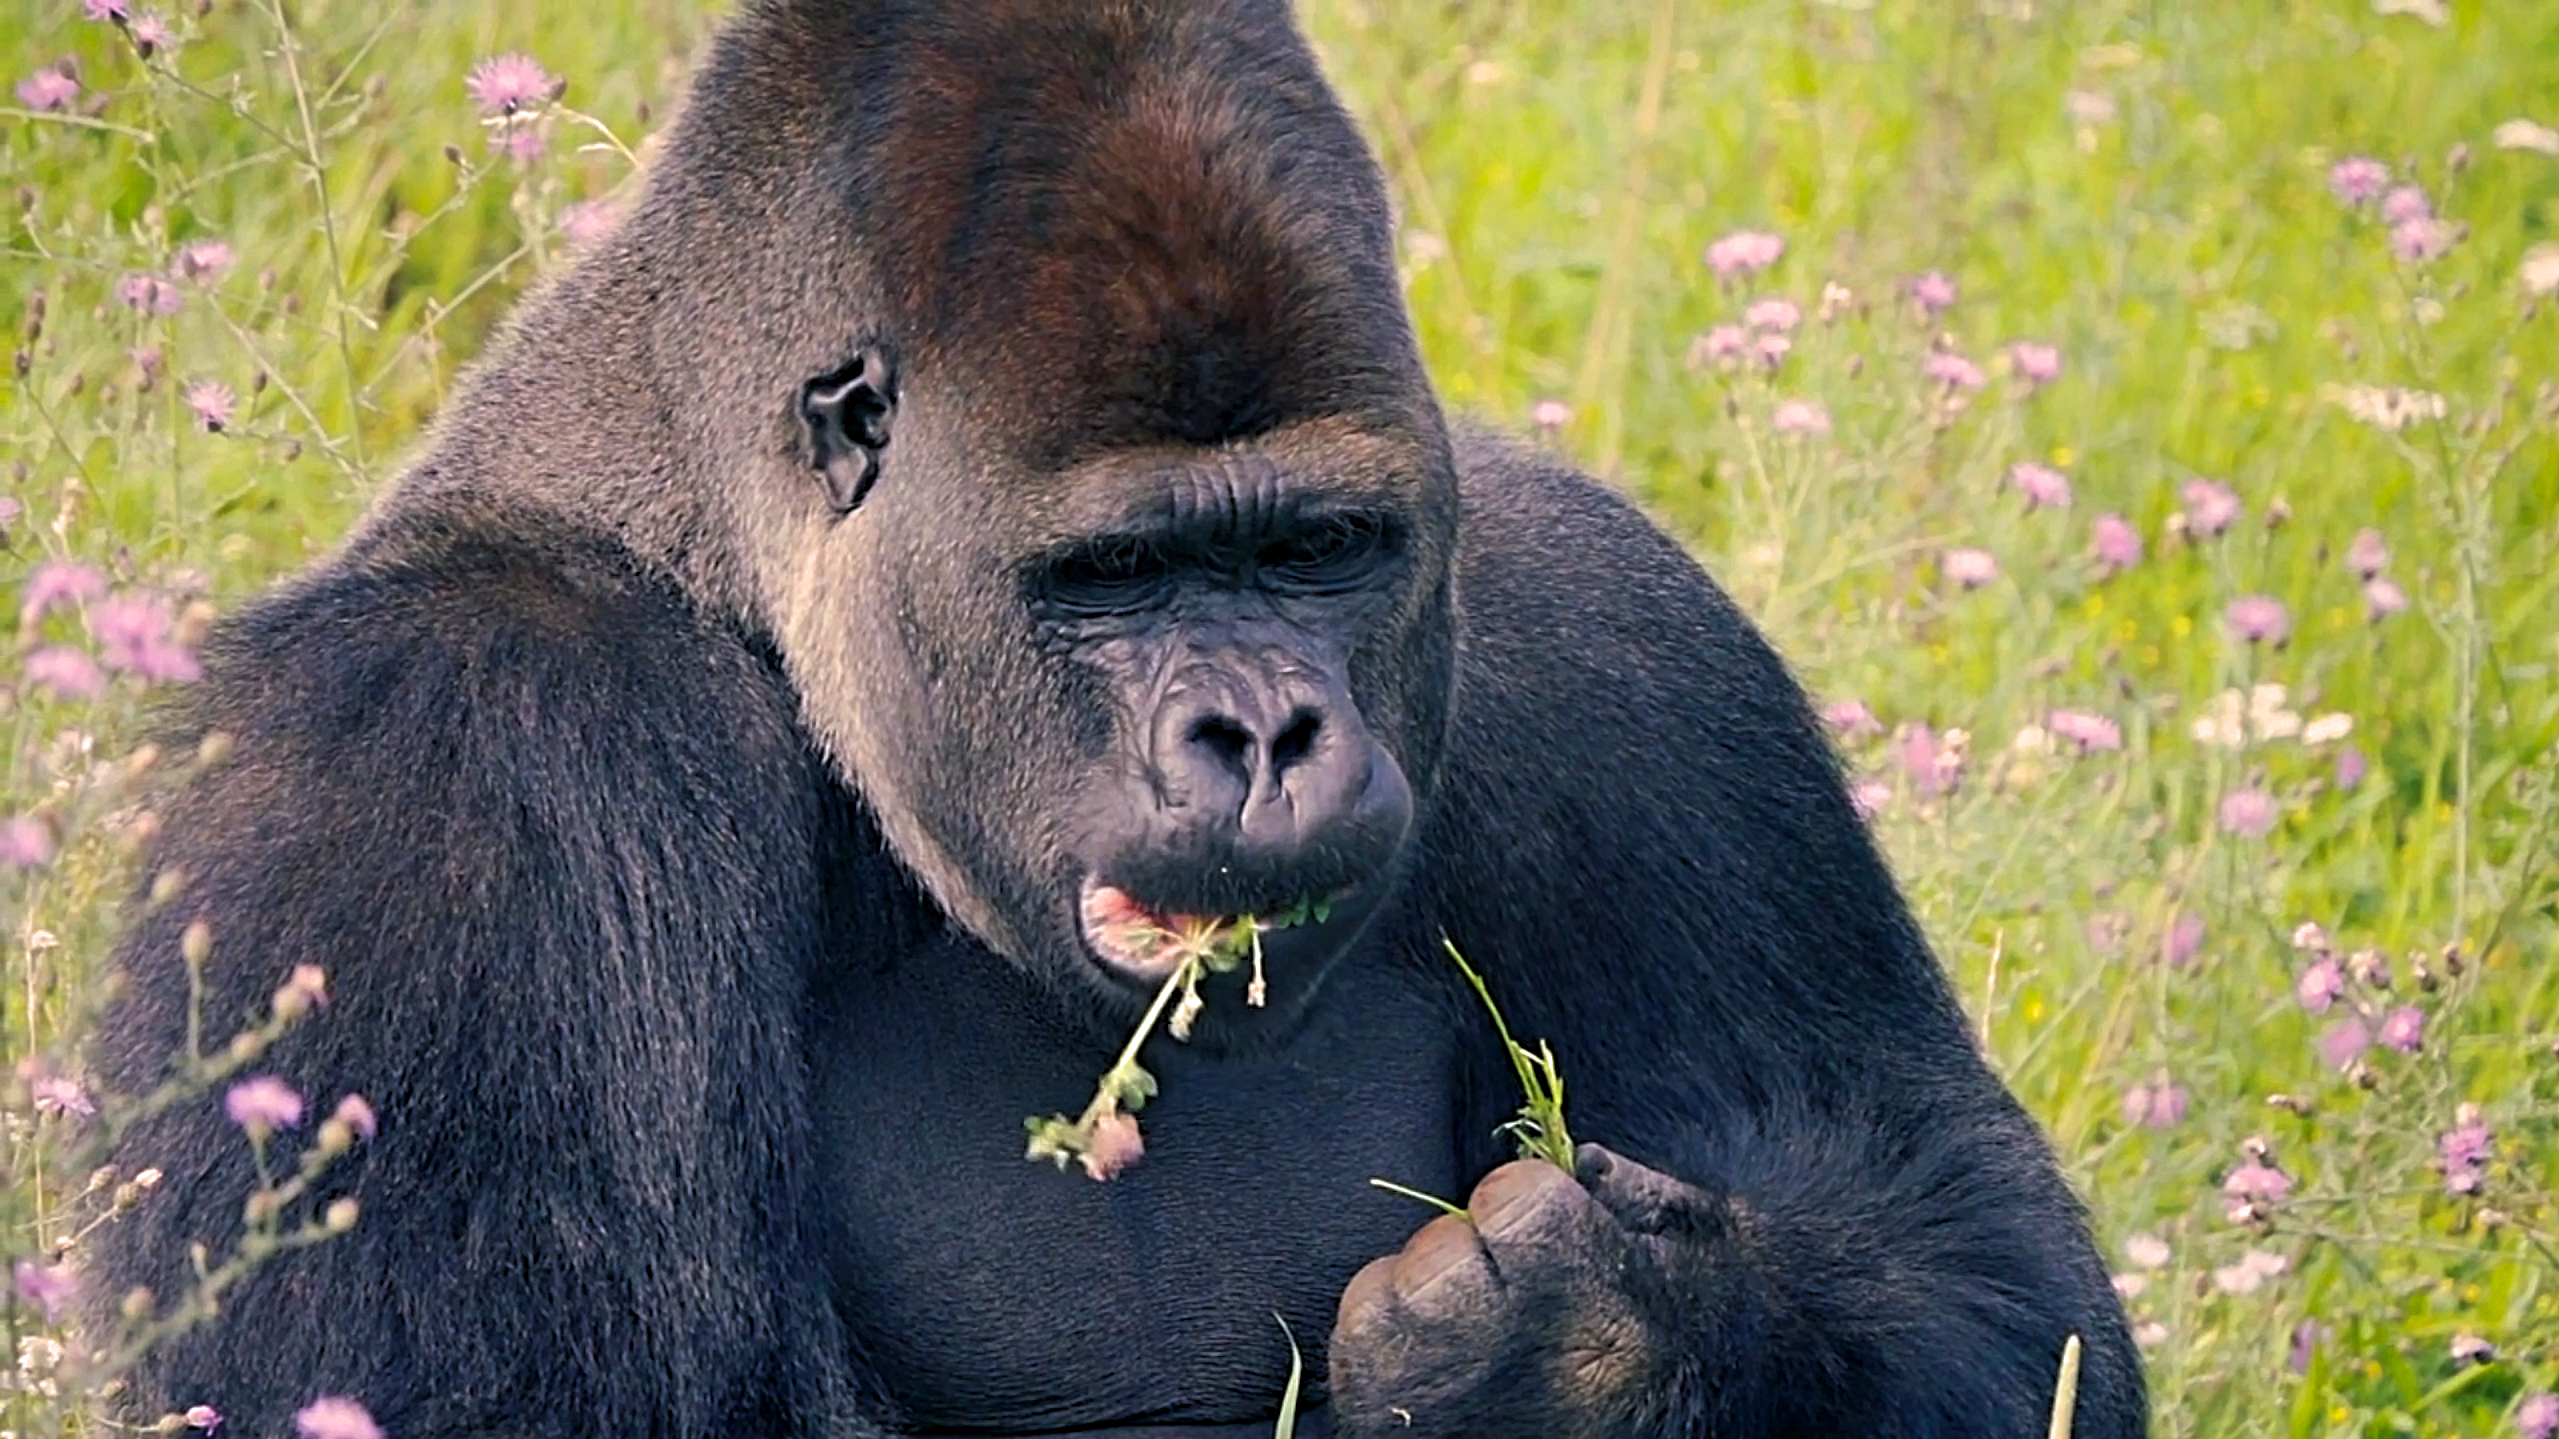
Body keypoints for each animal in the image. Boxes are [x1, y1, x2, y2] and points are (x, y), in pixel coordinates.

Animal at [85, 2, 2144, 1436]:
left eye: (1316, 548)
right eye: (1114, 576)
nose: (1264, 732)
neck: (713, 545)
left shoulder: (1618, 639)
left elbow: (1994, 1278)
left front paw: (1600, 1345)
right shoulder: (456, 746)